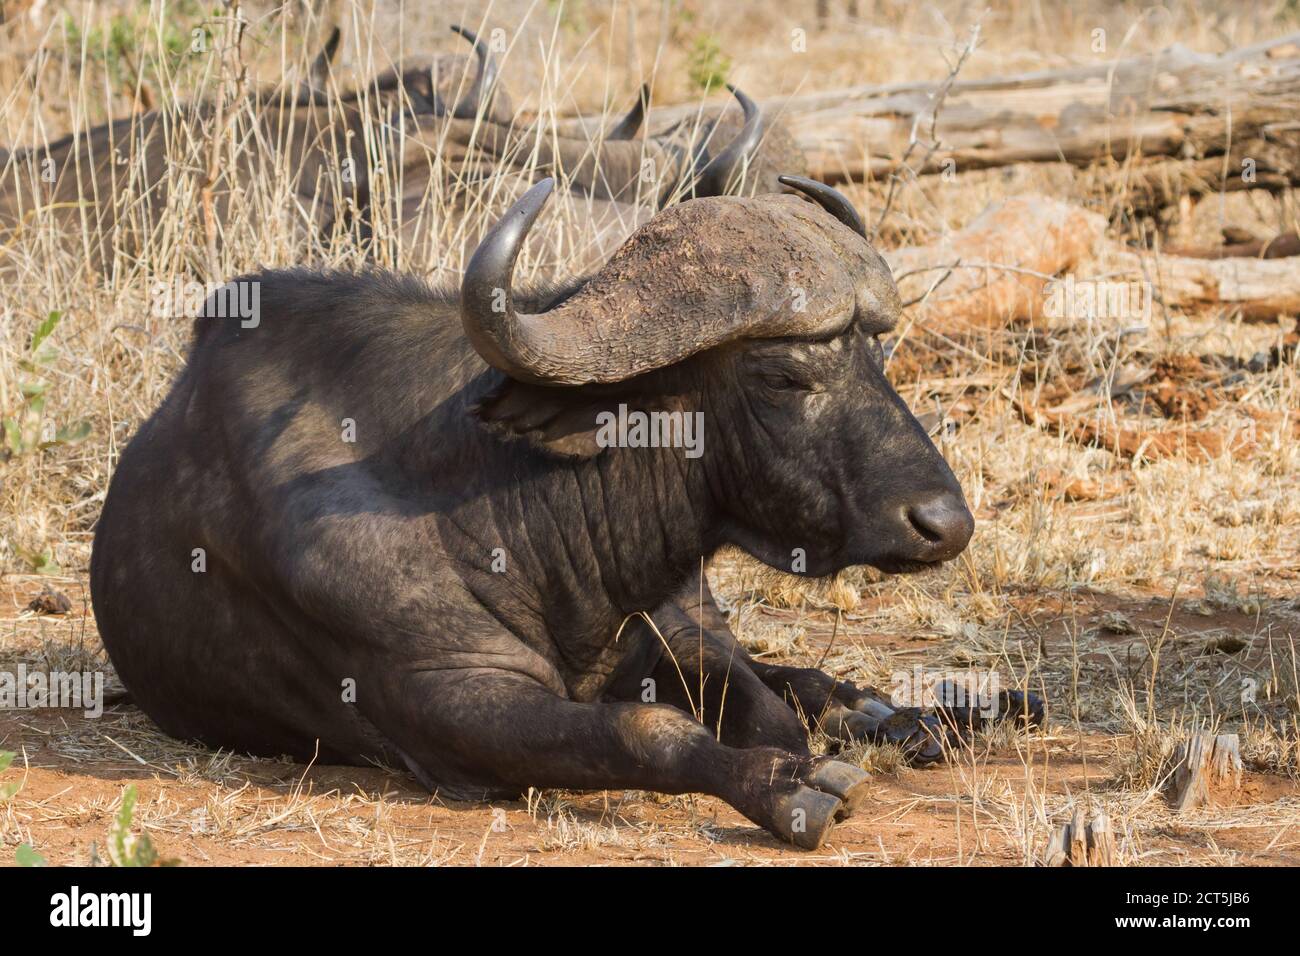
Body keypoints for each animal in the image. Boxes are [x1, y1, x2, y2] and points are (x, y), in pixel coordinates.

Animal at [91, 175, 1038, 848]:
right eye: (782, 375)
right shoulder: (449, 702)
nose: (944, 524)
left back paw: (921, 716)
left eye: (875, 357)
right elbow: (647, 731)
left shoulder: (670, 632)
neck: (503, 505)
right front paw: (787, 790)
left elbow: (761, 703)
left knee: (798, 678)